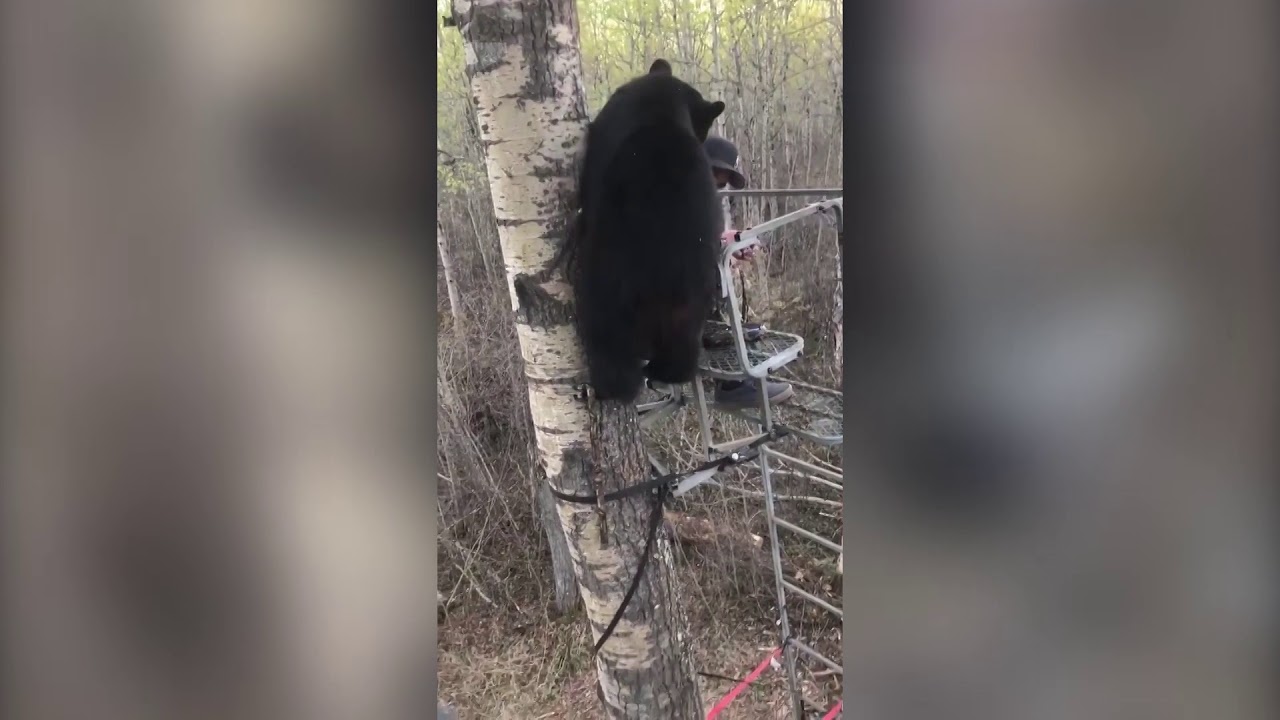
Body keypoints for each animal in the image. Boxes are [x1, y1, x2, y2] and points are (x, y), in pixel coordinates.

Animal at [569, 59, 726, 403]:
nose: (704, 137)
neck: (665, 100)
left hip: (607, 293)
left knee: (610, 354)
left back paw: (606, 388)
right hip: (692, 309)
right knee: (680, 357)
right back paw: (662, 372)